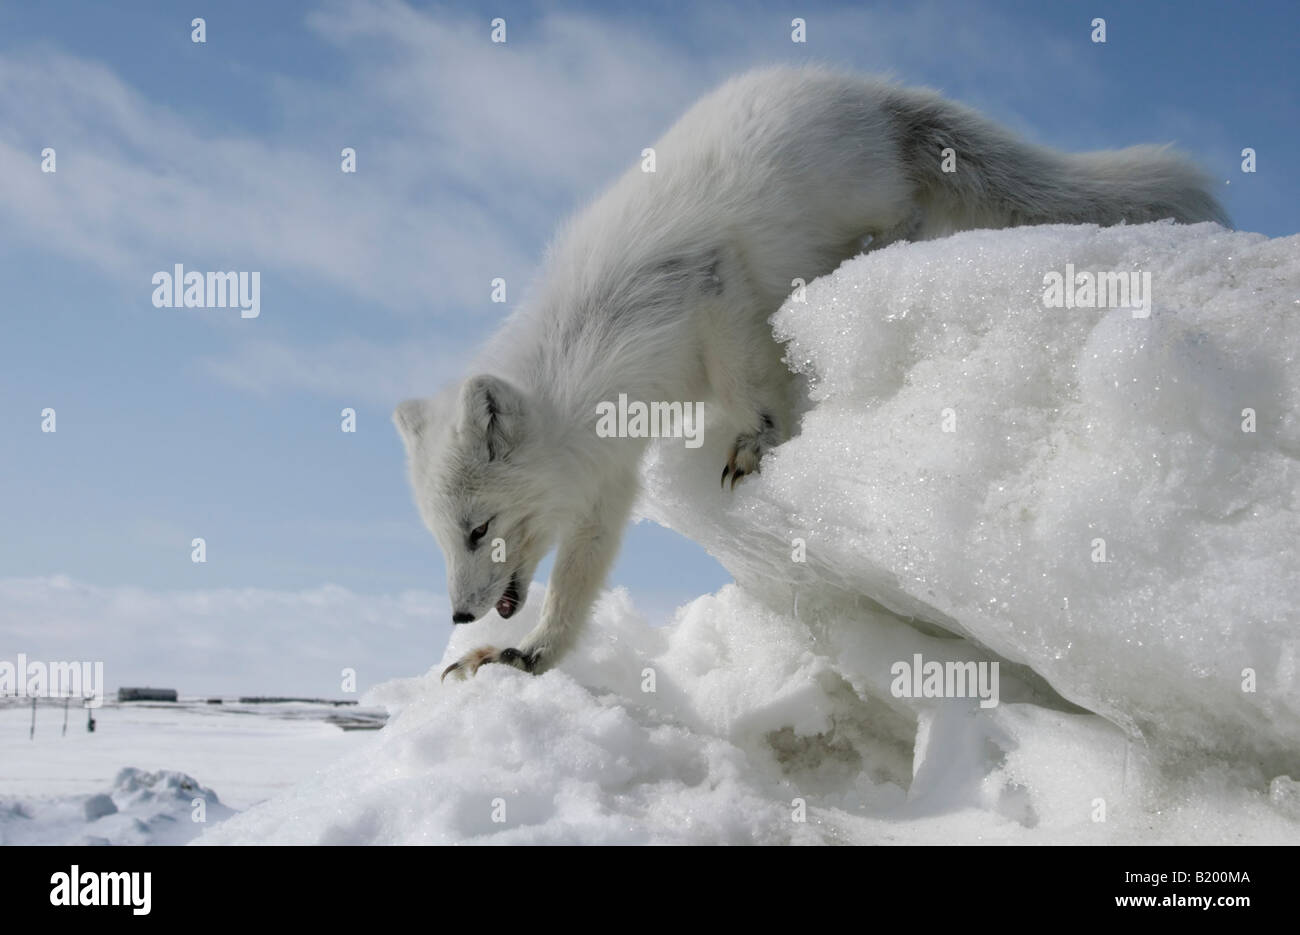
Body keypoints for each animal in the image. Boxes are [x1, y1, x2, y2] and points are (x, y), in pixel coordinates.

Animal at [393, 66, 1228, 680]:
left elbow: (748, 383)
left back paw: (872, 250)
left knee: (906, 217)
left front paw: (757, 442)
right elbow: (577, 581)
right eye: (442, 536)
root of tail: (869, 91)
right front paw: (528, 653)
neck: (581, 367)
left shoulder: (710, 288)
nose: (458, 614)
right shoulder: (610, 482)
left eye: (478, 527)